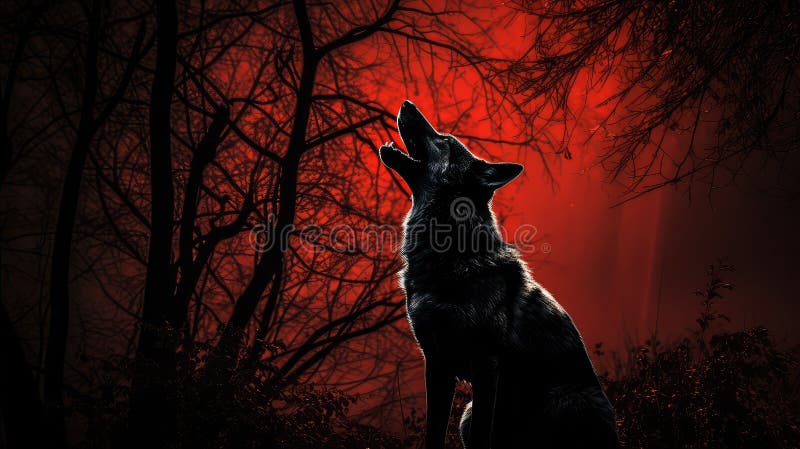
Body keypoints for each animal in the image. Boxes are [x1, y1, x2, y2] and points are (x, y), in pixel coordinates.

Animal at [378, 100, 619, 449]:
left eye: (444, 140)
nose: (407, 103)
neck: (449, 252)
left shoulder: (485, 364)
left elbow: (482, 434)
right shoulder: (436, 363)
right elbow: (433, 432)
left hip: (561, 402)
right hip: (467, 414)